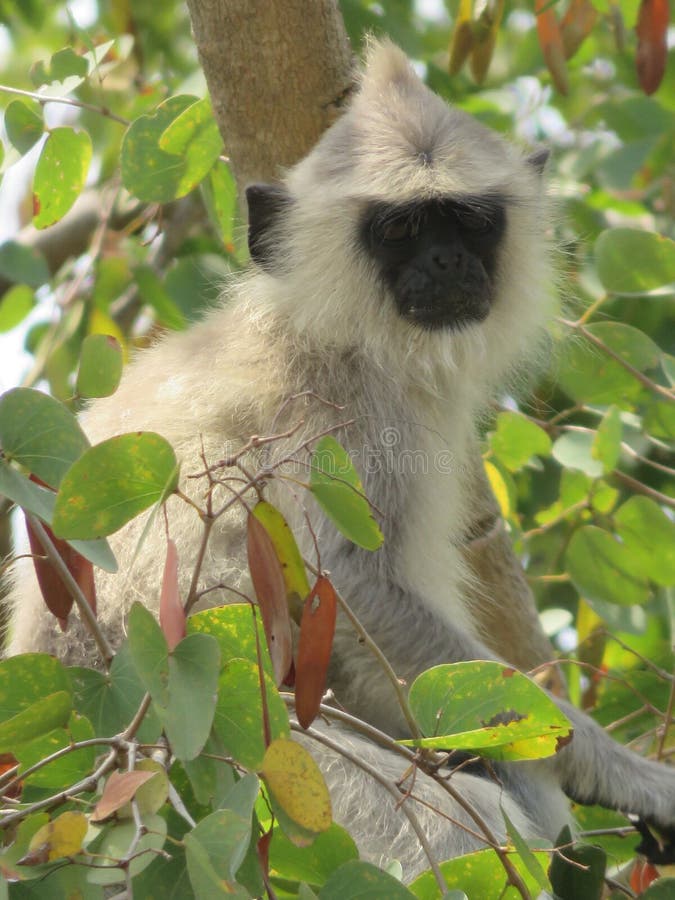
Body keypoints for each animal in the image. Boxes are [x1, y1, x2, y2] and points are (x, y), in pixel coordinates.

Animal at [6, 39, 675, 879]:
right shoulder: (345, 415)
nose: (447, 261)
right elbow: (354, 585)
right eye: (400, 229)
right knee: (452, 828)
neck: (334, 331)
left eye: (468, 220)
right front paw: (617, 774)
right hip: (254, 760)